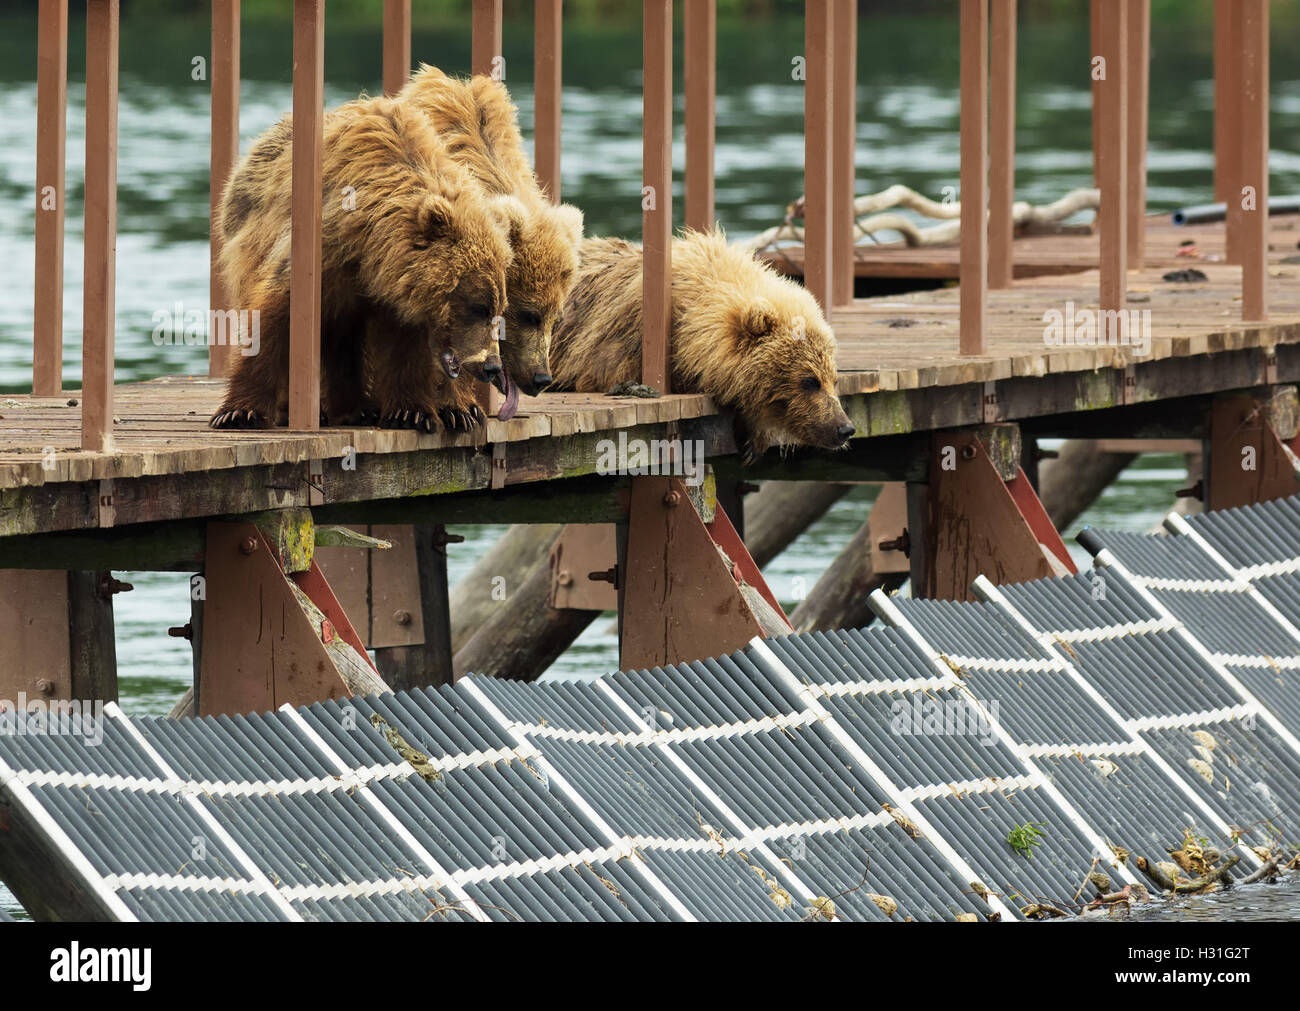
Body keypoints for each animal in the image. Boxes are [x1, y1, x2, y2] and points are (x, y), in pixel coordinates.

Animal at [211, 94, 518, 431]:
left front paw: (413, 412)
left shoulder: (400, 295)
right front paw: (239, 412)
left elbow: (403, 348)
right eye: (479, 306)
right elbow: (274, 315)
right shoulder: (326, 254)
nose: (492, 367)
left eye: (498, 308)